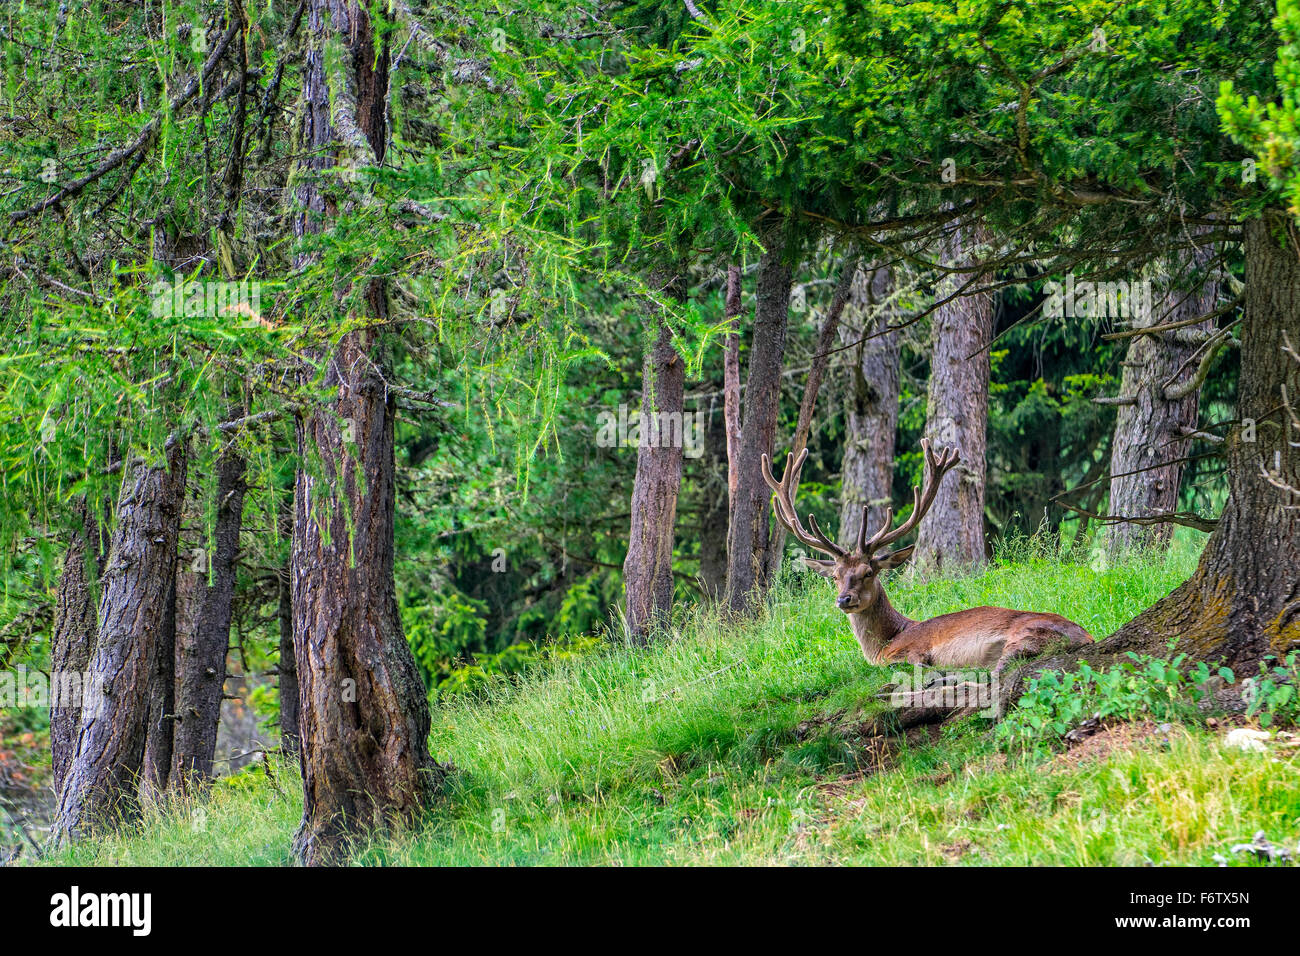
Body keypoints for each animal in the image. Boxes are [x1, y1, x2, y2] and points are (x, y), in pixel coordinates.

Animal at [762, 438, 1093, 677]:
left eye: (869, 572)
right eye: (834, 576)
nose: (845, 599)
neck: (888, 641)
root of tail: (1086, 637)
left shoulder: (915, 649)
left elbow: (913, 663)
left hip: (1024, 635)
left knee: (997, 671)